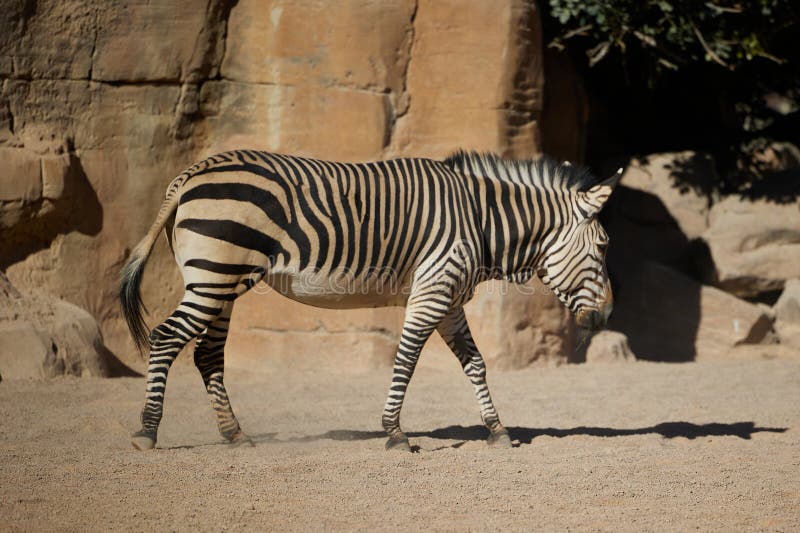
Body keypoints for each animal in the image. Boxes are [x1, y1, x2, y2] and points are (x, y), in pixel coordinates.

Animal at [120, 149, 620, 451]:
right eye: (603, 246)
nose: (609, 315)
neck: (480, 221)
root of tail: (192, 172)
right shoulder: (432, 292)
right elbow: (407, 360)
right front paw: (395, 433)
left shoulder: (449, 300)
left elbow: (475, 363)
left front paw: (497, 430)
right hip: (214, 277)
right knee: (166, 337)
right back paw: (147, 431)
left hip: (217, 282)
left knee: (206, 354)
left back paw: (234, 434)